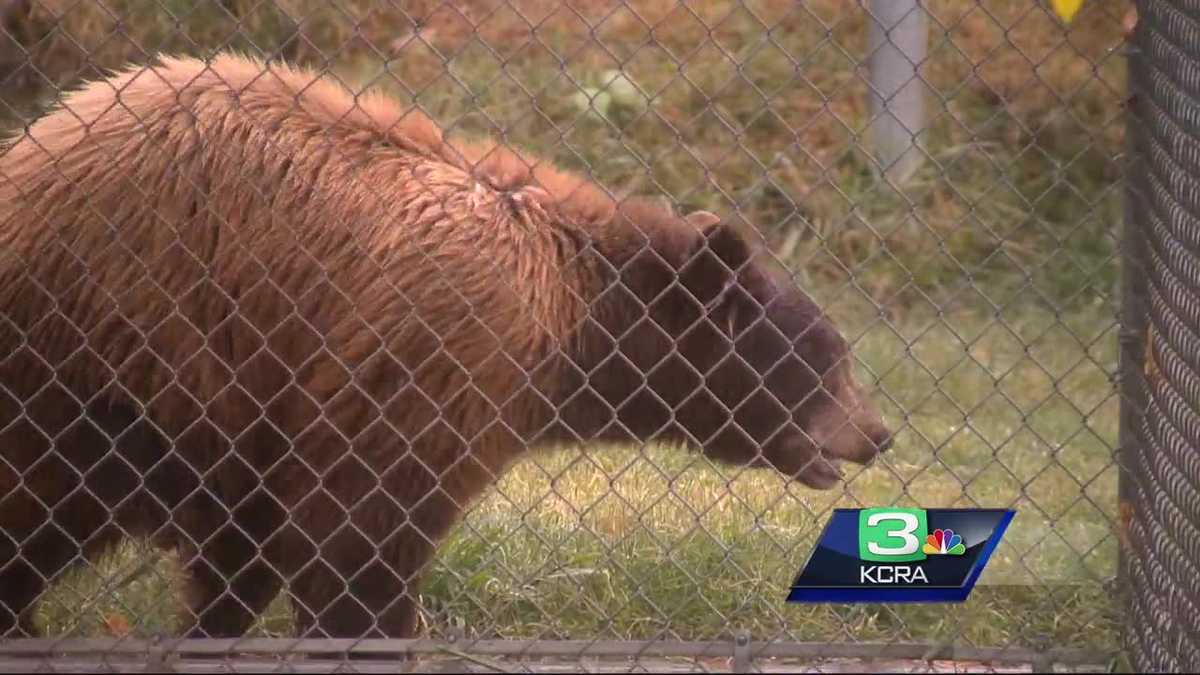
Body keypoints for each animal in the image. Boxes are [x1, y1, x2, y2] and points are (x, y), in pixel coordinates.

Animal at [0, 53, 892, 640]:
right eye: (831, 357)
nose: (877, 432)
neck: (573, 319)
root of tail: (36, 142)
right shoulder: (430, 357)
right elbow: (362, 536)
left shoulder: (270, 411)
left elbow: (250, 549)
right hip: (98, 342)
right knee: (39, 497)